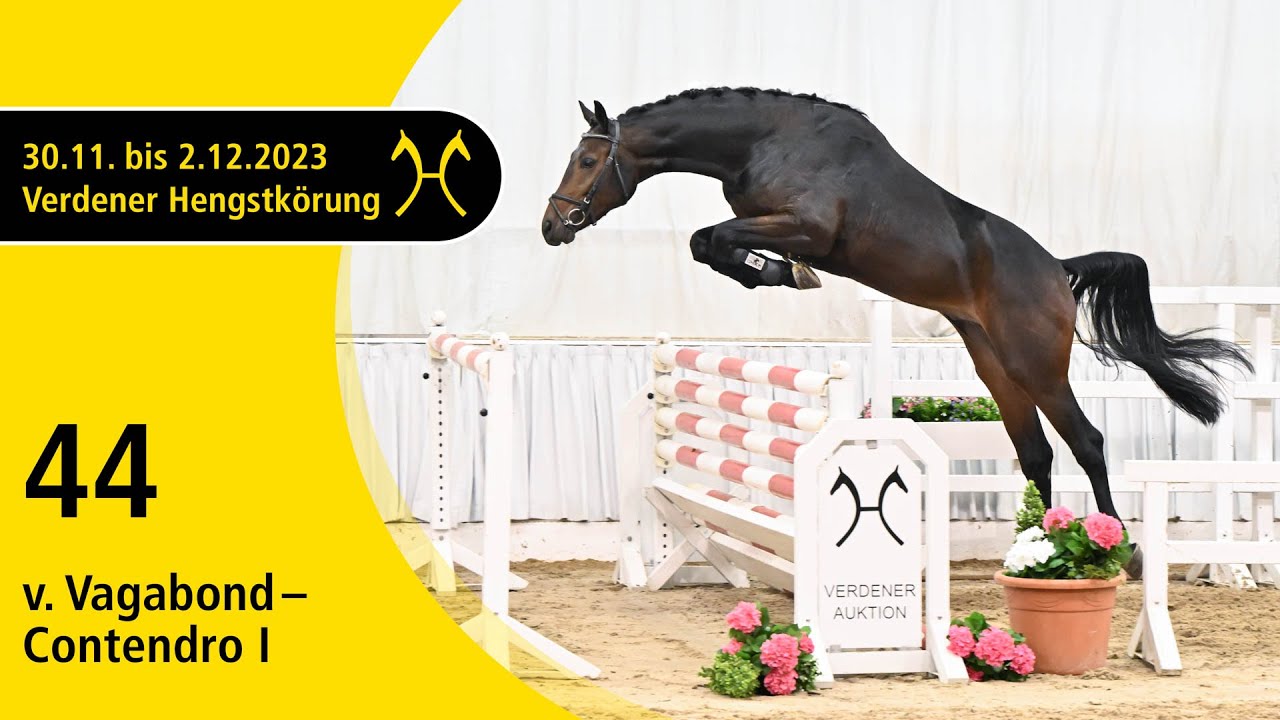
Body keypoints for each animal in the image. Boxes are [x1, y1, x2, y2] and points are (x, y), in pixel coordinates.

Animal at [542, 88, 1254, 573]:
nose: (553, 226)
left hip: (1036, 366)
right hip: (994, 364)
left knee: (1087, 440)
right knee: (1036, 453)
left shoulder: (805, 226)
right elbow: (704, 241)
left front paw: (779, 272)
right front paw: (772, 272)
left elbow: (713, 239)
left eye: (587, 159)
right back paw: (1038, 546)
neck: (765, 139)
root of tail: (1057, 268)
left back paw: (1118, 549)